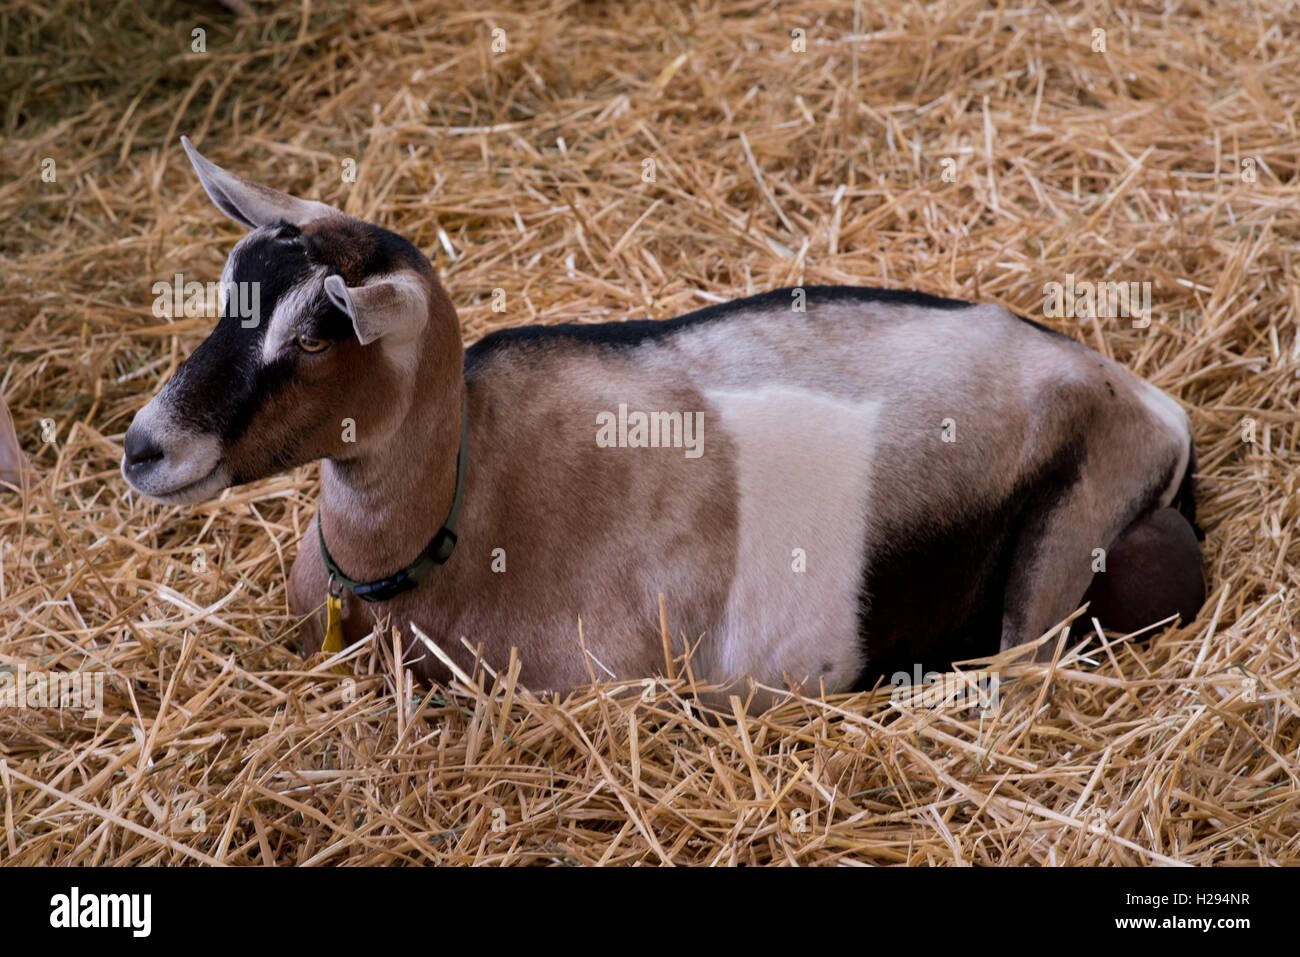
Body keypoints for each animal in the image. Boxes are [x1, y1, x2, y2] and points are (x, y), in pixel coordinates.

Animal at [121, 138, 1205, 706]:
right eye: (230, 288)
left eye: (317, 334)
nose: (145, 448)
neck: (468, 510)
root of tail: (1151, 407)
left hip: (1059, 558)